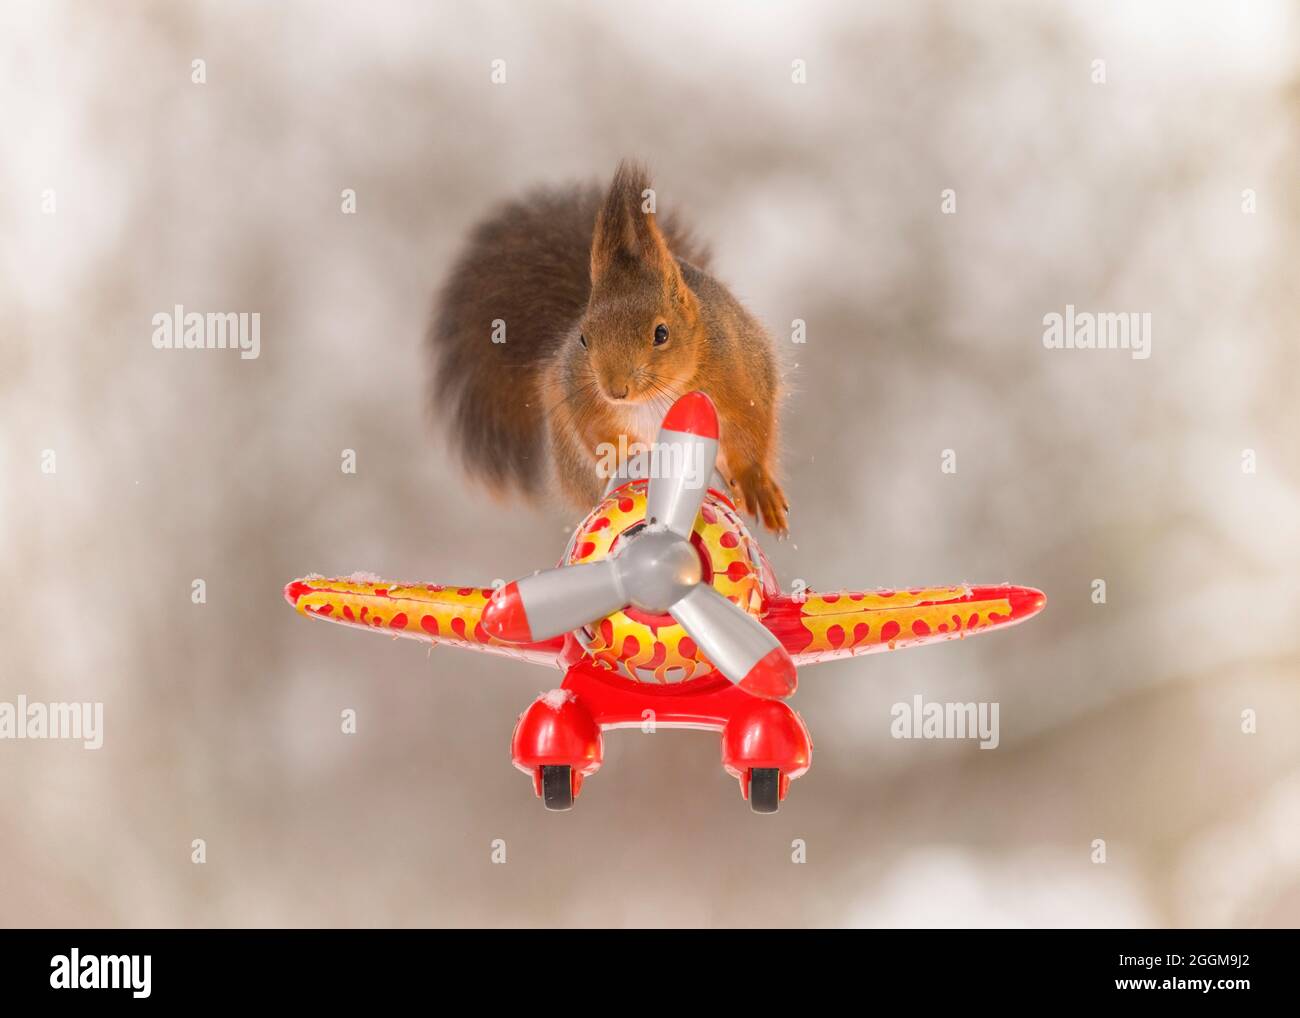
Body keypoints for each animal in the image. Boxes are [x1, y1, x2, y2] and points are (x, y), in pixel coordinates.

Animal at [428, 160, 788, 534]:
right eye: (584, 338)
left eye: (662, 333)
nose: (616, 391)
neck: (658, 397)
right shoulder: (581, 394)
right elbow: (597, 433)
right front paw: (630, 456)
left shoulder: (738, 376)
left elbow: (751, 431)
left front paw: (757, 485)